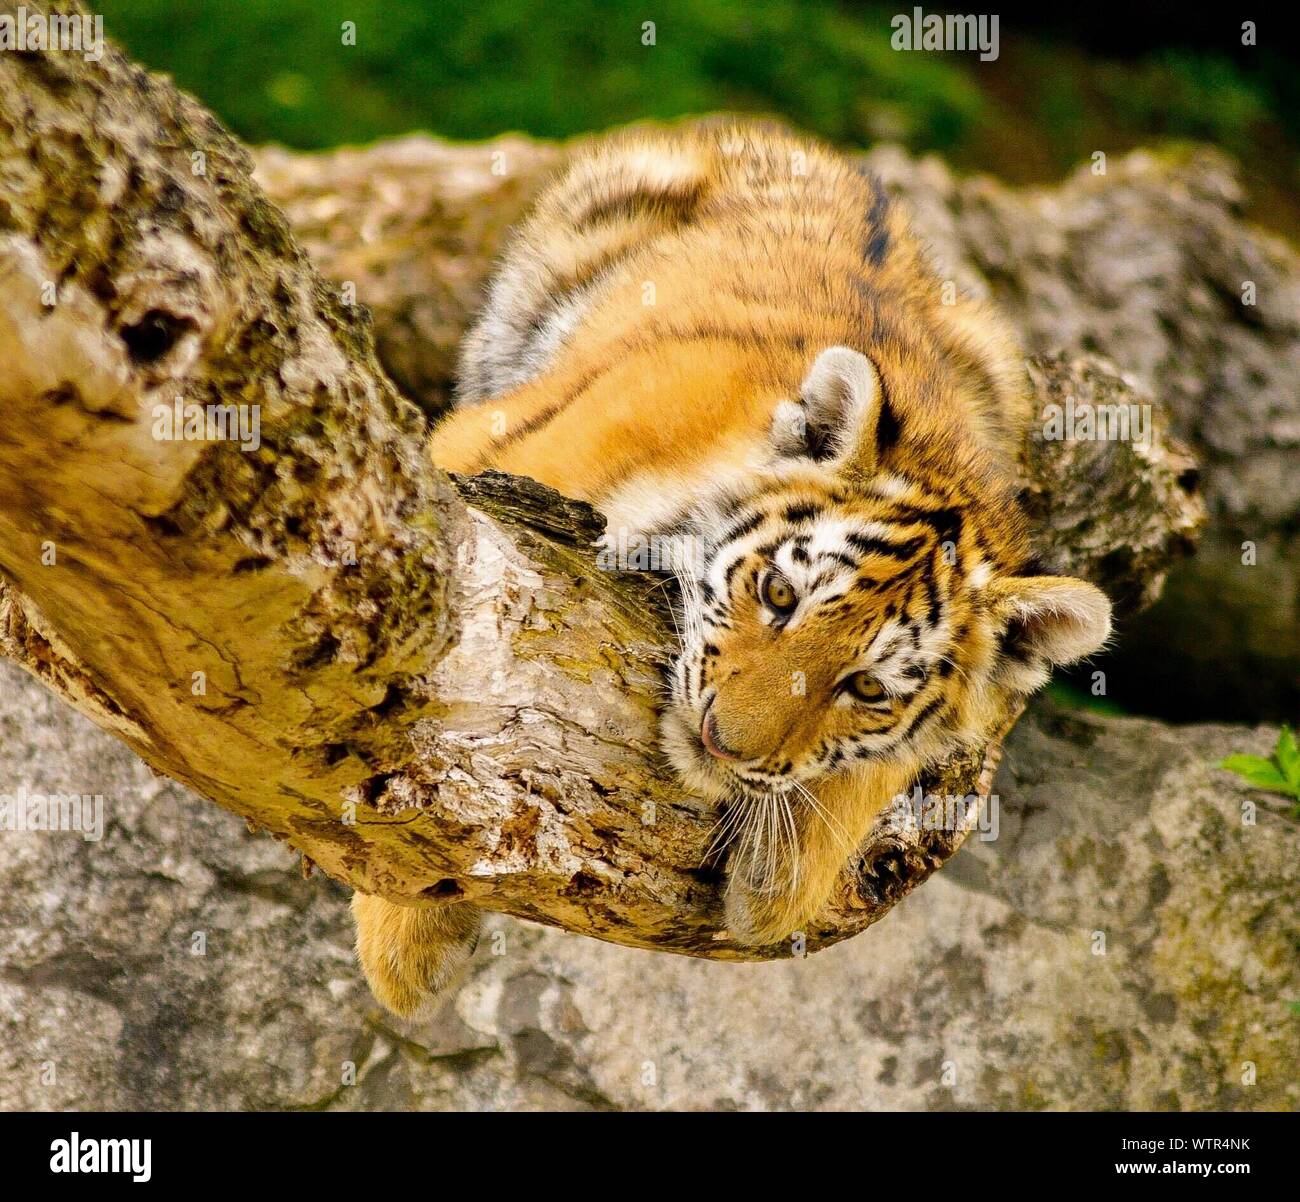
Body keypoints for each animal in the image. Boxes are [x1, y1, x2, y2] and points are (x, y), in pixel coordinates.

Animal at [352, 121, 1112, 1018]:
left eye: (867, 687)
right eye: (778, 594)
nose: (723, 741)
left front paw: (778, 885)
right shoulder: (489, 449)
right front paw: (405, 949)